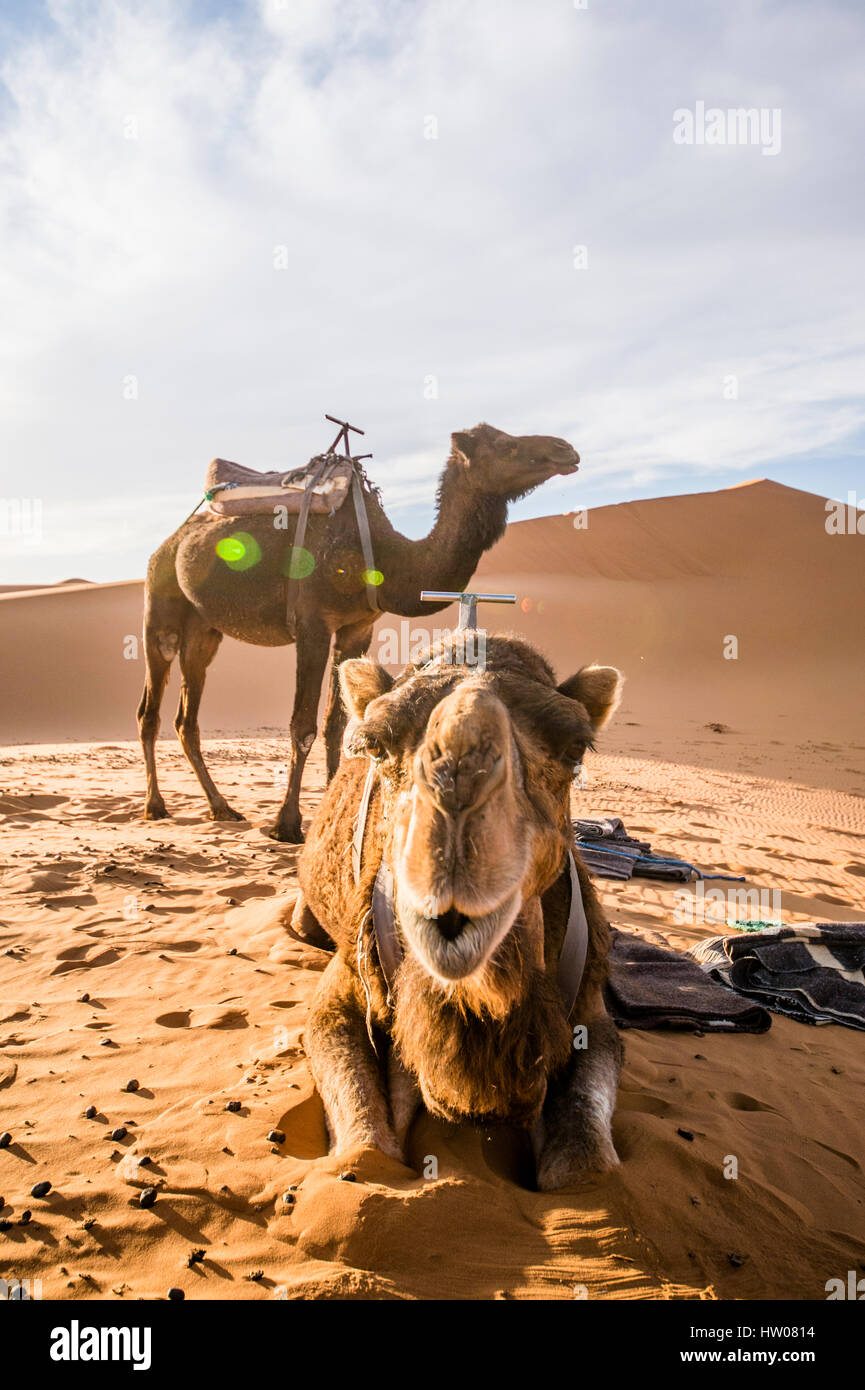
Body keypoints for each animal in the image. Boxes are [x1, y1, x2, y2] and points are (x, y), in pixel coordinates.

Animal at [138, 423, 579, 842]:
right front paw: (287, 825)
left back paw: (221, 807)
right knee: (150, 707)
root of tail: (171, 542)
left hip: (204, 630)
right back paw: (155, 806)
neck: (385, 557)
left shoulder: (357, 628)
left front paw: (331, 809)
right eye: (507, 445)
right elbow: (303, 725)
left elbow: (337, 722)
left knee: (186, 717)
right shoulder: (312, 624)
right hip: (160, 605)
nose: (567, 450)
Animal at [294, 630, 625, 1189]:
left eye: (575, 748)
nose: (457, 786)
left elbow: (586, 1163)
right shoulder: (345, 986)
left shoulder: (590, 1012)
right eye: (376, 744)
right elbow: (365, 1153)